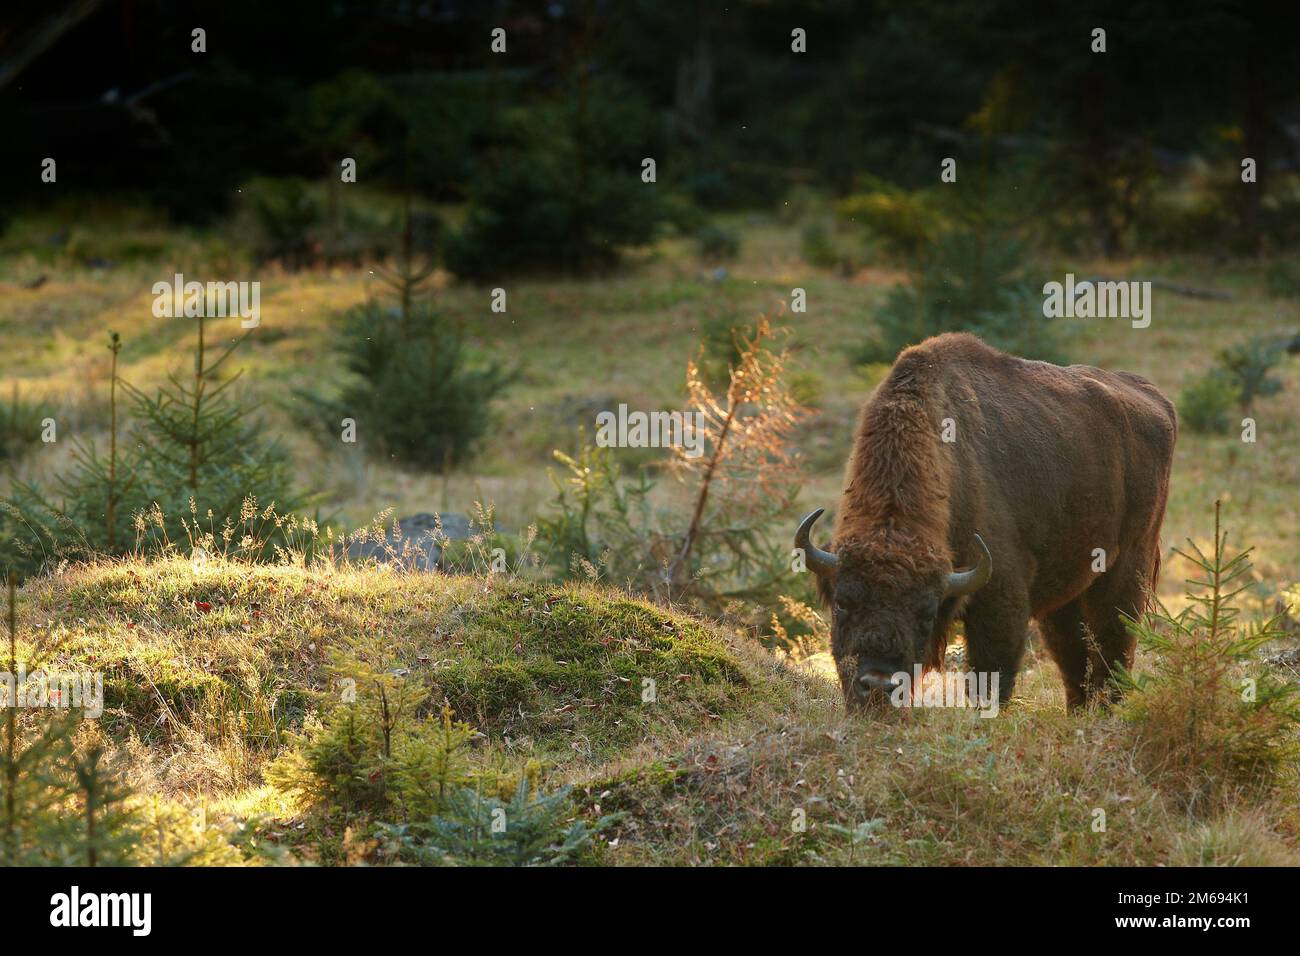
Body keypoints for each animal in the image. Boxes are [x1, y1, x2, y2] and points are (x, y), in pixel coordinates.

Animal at [796, 332, 1176, 711]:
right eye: (841, 603)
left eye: (926, 612)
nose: (877, 685)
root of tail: (1154, 398)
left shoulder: (1000, 600)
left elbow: (990, 679)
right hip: (1066, 593)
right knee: (1073, 656)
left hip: (1127, 567)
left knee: (1114, 646)